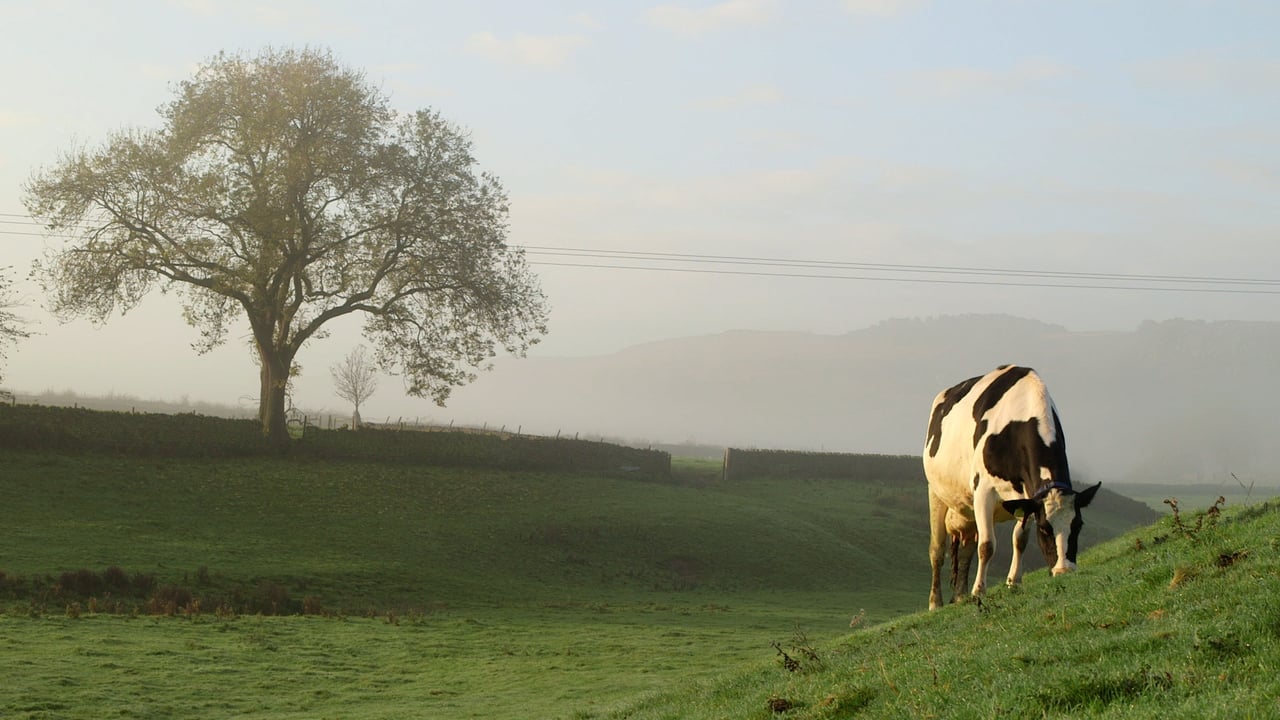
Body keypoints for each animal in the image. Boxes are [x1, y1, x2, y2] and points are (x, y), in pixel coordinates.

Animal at [923, 365, 1101, 610]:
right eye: (1044, 528)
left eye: (1078, 525)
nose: (1063, 570)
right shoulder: (983, 490)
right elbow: (987, 545)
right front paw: (979, 592)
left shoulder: (1027, 496)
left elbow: (1020, 539)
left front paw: (1013, 582)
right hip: (936, 492)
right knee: (937, 550)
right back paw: (936, 602)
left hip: (966, 507)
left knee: (966, 549)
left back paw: (960, 596)